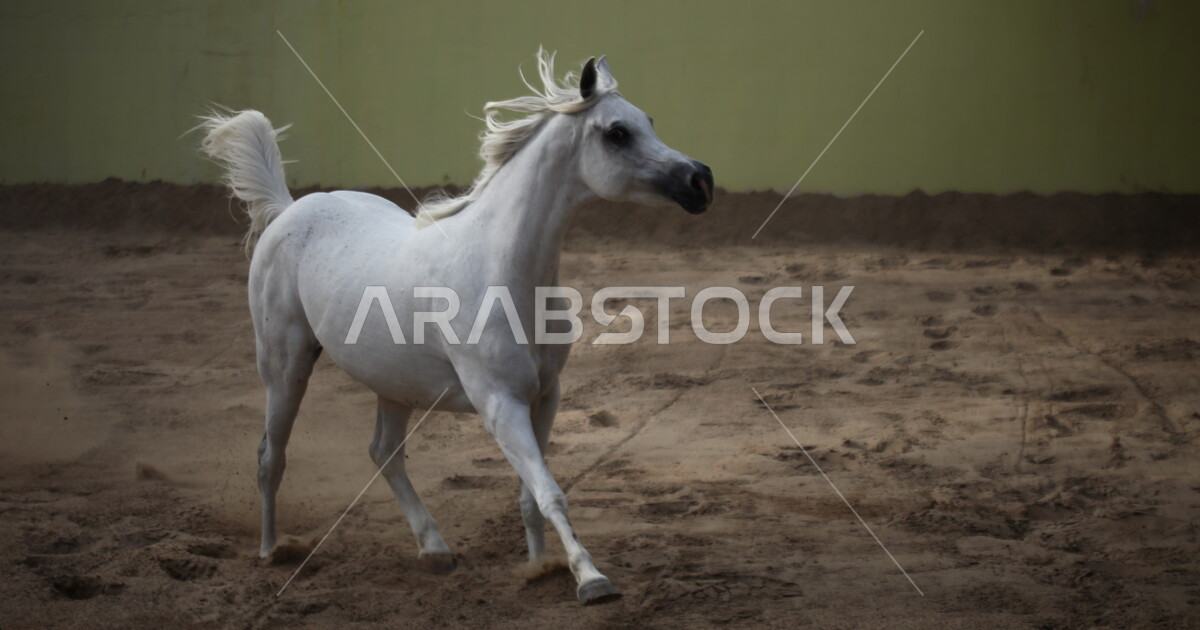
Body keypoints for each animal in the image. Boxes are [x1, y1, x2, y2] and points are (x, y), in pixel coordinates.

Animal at [199, 50, 713, 604]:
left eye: (649, 121)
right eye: (617, 132)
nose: (700, 180)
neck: (499, 271)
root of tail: (289, 209)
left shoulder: (544, 397)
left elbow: (530, 494)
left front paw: (539, 566)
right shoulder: (499, 404)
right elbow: (549, 491)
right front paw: (591, 579)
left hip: (393, 383)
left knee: (384, 453)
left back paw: (435, 549)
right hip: (284, 365)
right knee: (270, 456)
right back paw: (271, 551)